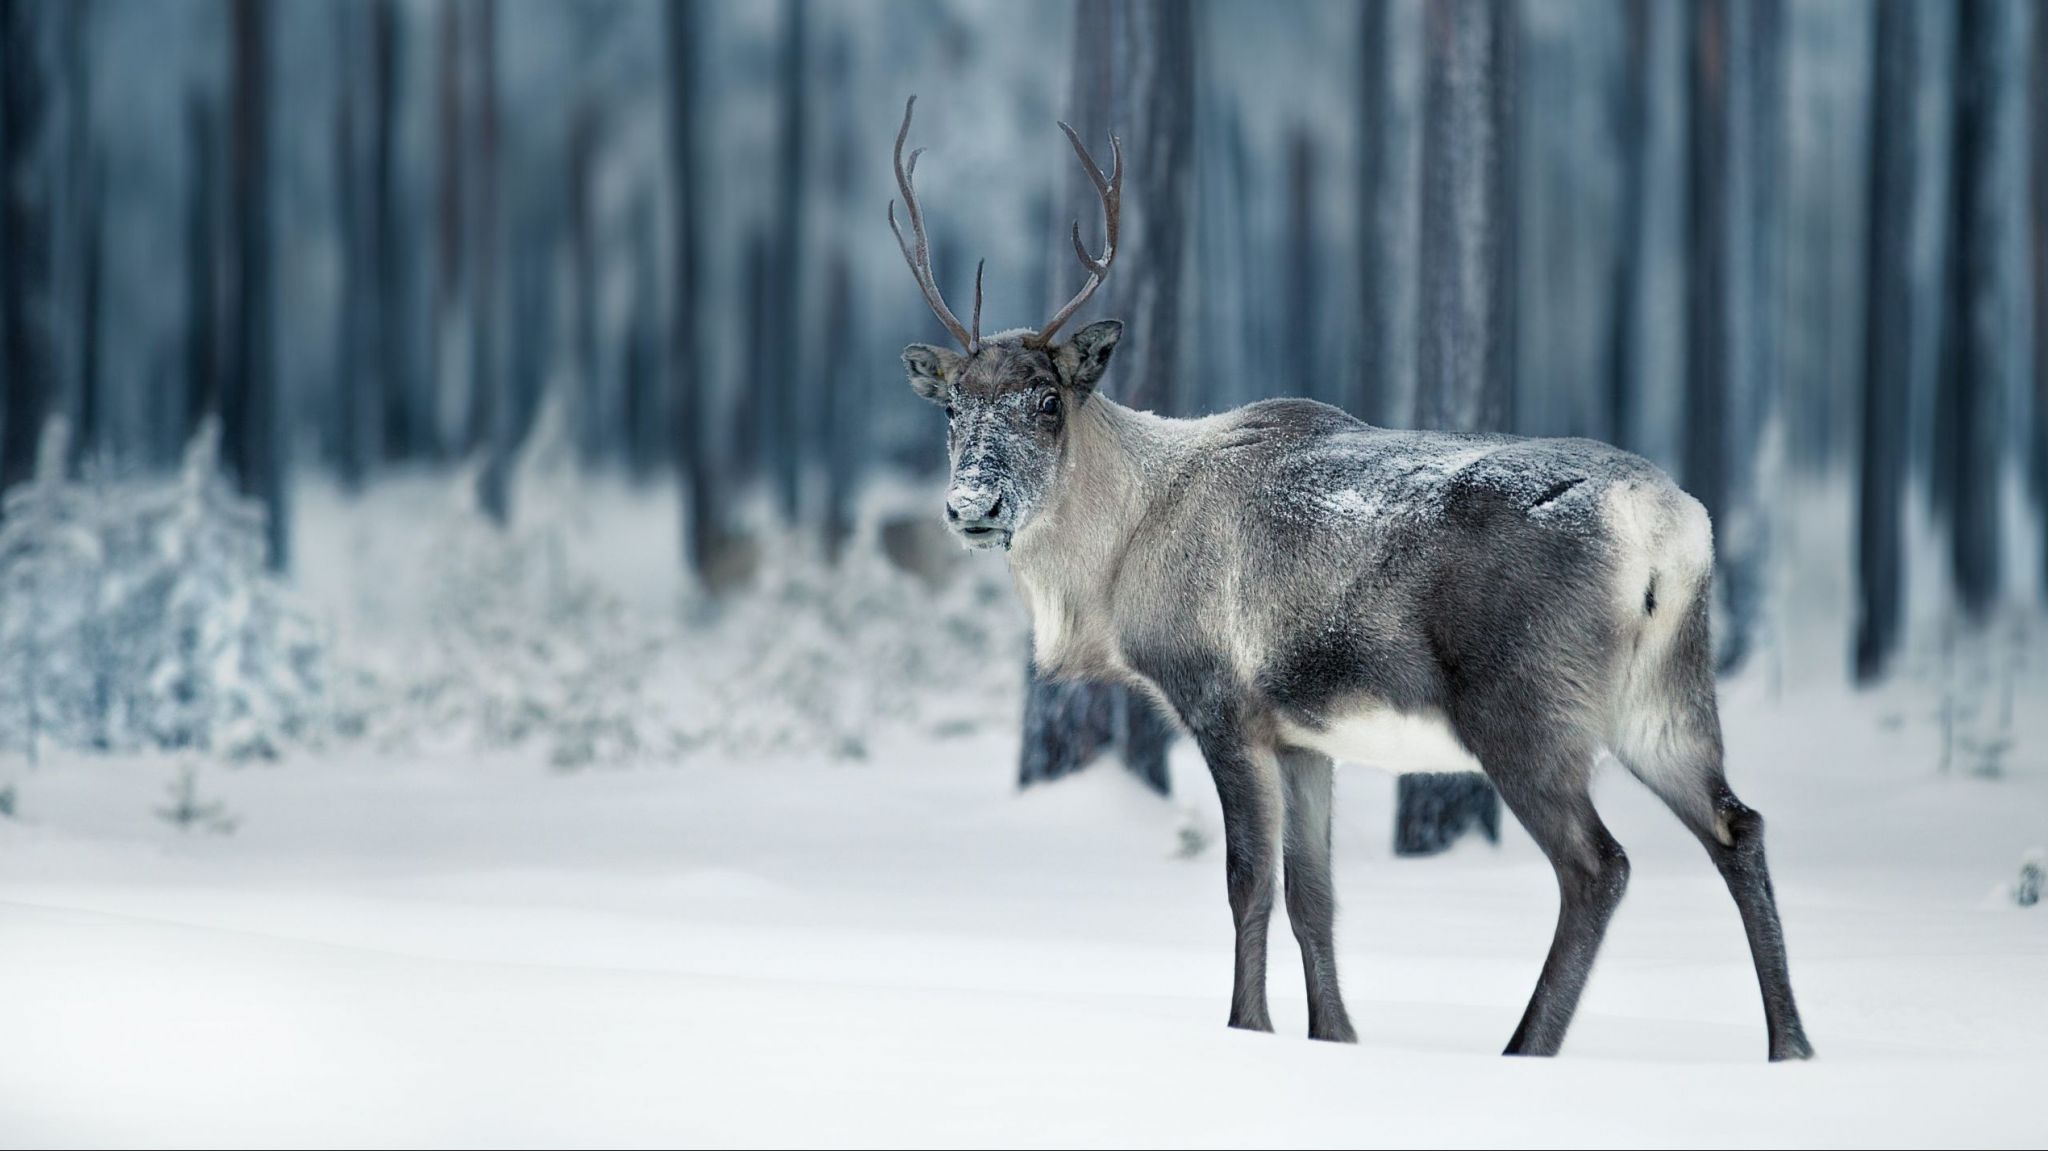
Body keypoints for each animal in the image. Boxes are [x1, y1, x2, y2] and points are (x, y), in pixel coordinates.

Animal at [887, 96, 1812, 1061]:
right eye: (952, 408)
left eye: (1046, 400)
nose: (972, 502)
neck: (1120, 557)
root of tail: (1668, 527)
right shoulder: (1305, 735)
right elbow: (1315, 895)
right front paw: (1335, 1036)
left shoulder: (1222, 703)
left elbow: (1248, 882)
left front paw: (1248, 1026)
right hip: (1666, 692)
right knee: (1738, 823)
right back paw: (1790, 1044)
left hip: (1526, 704)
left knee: (1600, 865)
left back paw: (1527, 1045)